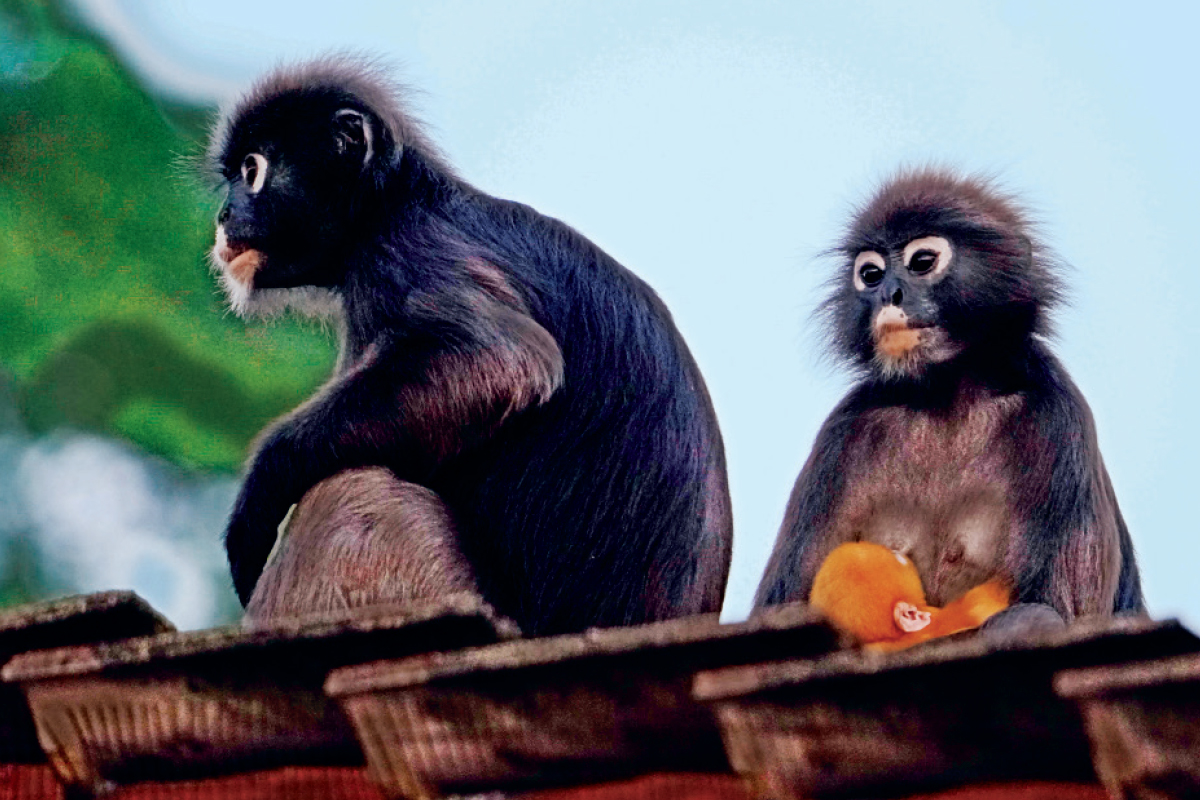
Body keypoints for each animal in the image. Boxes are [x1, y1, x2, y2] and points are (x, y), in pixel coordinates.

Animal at [206, 58, 732, 636]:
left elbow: (501, 360)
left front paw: (255, 502)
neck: (400, 203)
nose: (223, 217)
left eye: (252, 170)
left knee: (353, 490)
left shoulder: (408, 245)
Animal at [755, 169, 1143, 631]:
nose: (889, 294)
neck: (948, 397)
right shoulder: (844, 430)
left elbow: (1056, 609)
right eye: (870, 274)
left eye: (922, 262)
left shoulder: (1058, 415)